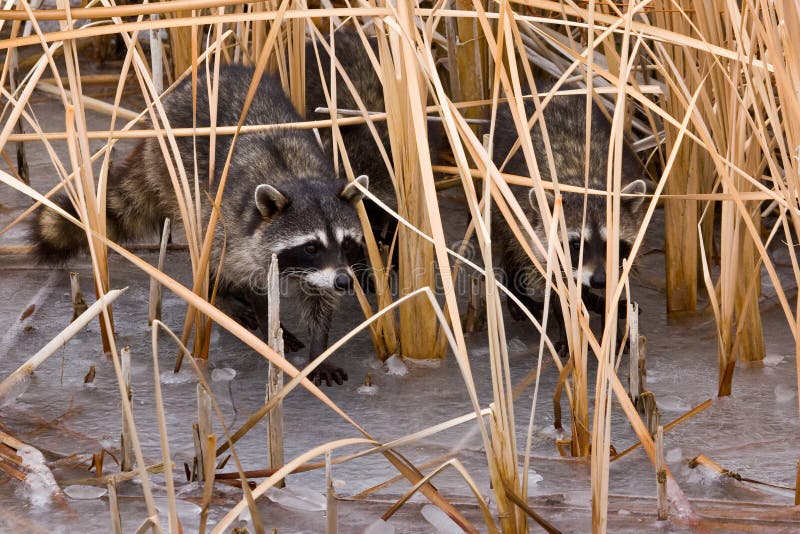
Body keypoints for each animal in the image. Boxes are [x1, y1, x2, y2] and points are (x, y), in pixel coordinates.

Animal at [31, 65, 369, 386]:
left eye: (346, 243)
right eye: (311, 247)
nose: (344, 281)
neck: (295, 178)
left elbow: (319, 300)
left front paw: (319, 349)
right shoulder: (234, 227)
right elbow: (245, 275)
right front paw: (264, 318)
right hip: (178, 179)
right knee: (207, 247)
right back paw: (221, 296)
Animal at [491, 83, 647, 345]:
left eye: (613, 243)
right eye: (575, 244)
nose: (598, 280)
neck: (582, 182)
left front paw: (610, 323)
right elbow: (557, 287)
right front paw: (566, 324)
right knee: (509, 243)